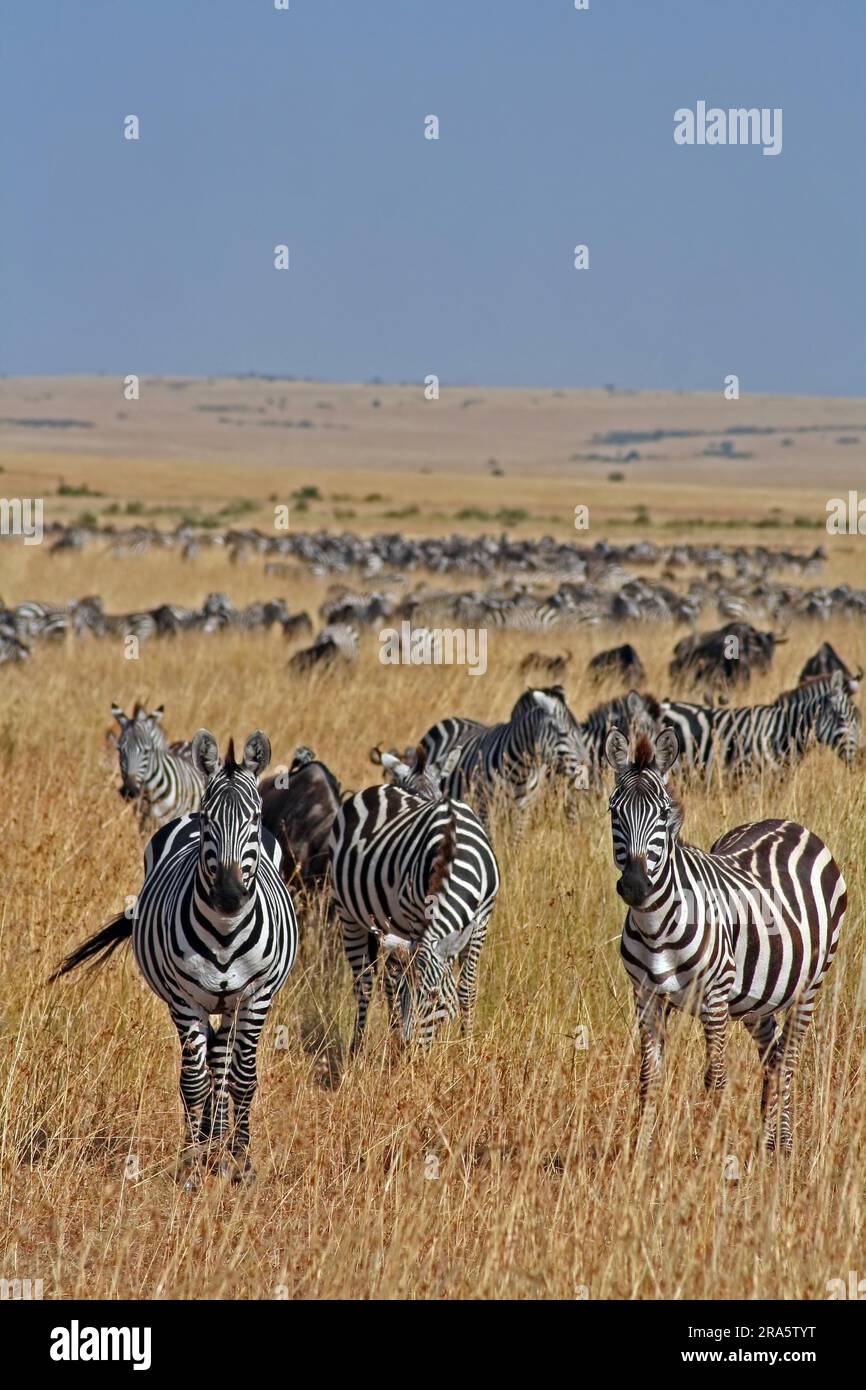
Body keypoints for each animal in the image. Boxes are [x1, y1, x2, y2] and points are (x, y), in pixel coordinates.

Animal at [52, 730, 298, 1185]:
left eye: (255, 819)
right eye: (208, 821)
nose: (229, 896)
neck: (225, 934)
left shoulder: (255, 997)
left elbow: (243, 1079)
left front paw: (242, 1163)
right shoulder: (185, 1001)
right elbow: (193, 1082)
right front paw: (191, 1163)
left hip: (231, 1003)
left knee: (223, 1064)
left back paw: (220, 1147)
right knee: (208, 1066)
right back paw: (209, 1145)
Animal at [329, 744, 500, 1052]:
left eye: (434, 997)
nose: (409, 1051)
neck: (453, 851)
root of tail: (376, 788)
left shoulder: (481, 920)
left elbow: (466, 987)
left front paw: (466, 1046)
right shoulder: (412, 918)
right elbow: (397, 982)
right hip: (348, 914)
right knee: (365, 982)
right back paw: (358, 1047)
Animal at [604, 727, 846, 1151]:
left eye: (663, 814)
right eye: (613, 812)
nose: (634, 886)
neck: (655, 927)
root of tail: (790, 824)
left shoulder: (714, 998)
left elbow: (714, 1078)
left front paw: (711, 1152)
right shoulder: (646, 997)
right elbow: (648, 1078)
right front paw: (642, 1153)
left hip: (810, 985)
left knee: (791, 1059)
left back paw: (784, 1144)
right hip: (757, 997)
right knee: (774, 1055)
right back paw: (768, 1142)